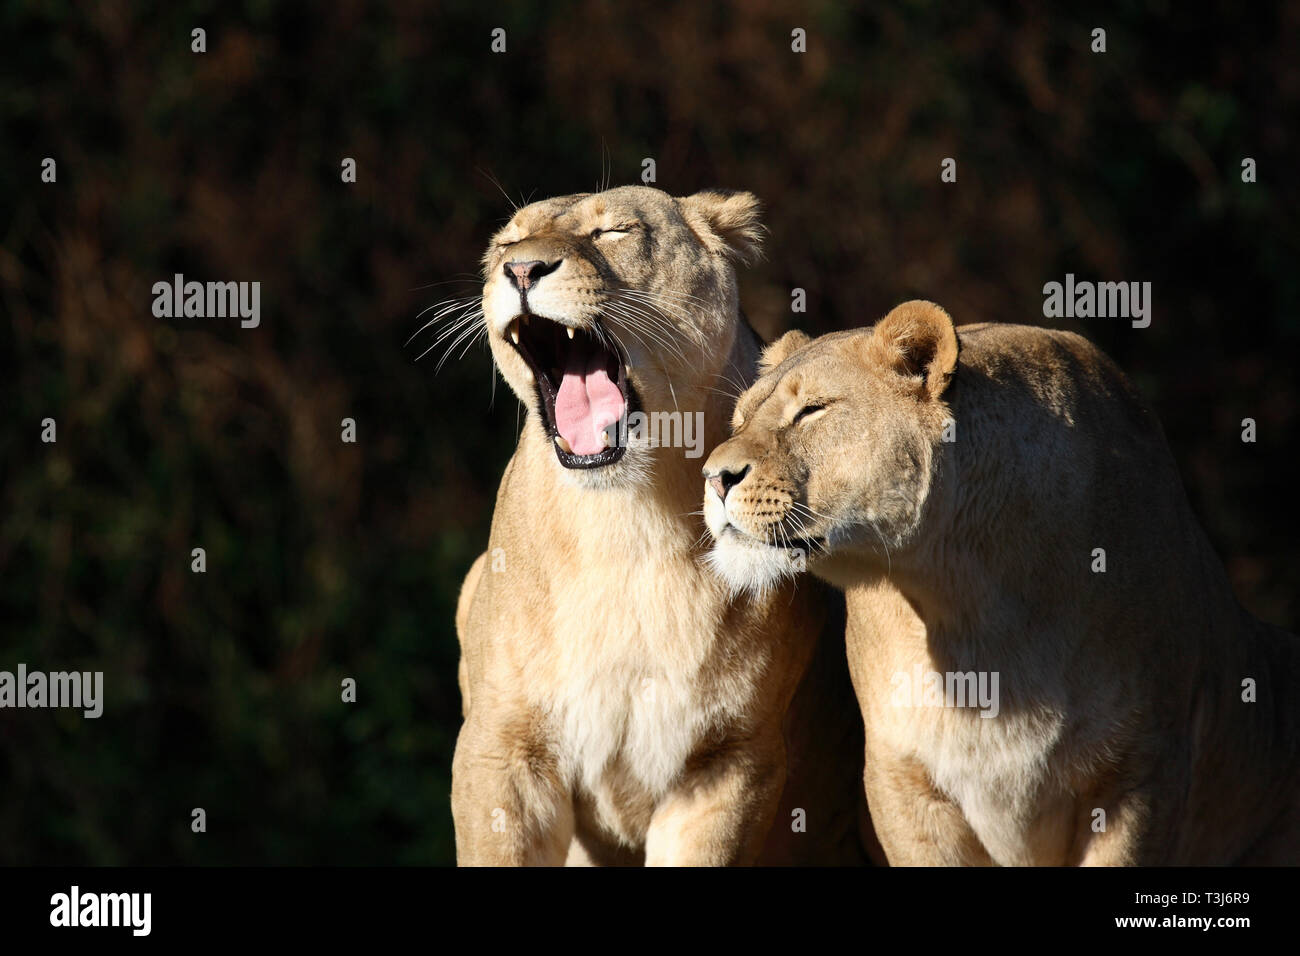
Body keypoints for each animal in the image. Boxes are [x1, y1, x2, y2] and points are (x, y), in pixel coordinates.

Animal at [449, 186, 875, 865]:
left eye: (613, 232)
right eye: (505, 244)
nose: (519, 269)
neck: (624, 522)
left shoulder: (725, 764)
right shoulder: (501, 749)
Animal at [703, 300, 1300, 865]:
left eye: (812, 410)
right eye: (739, 421)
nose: (714, 477)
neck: (968, 601)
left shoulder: (1138, 776)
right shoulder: (902, 779)